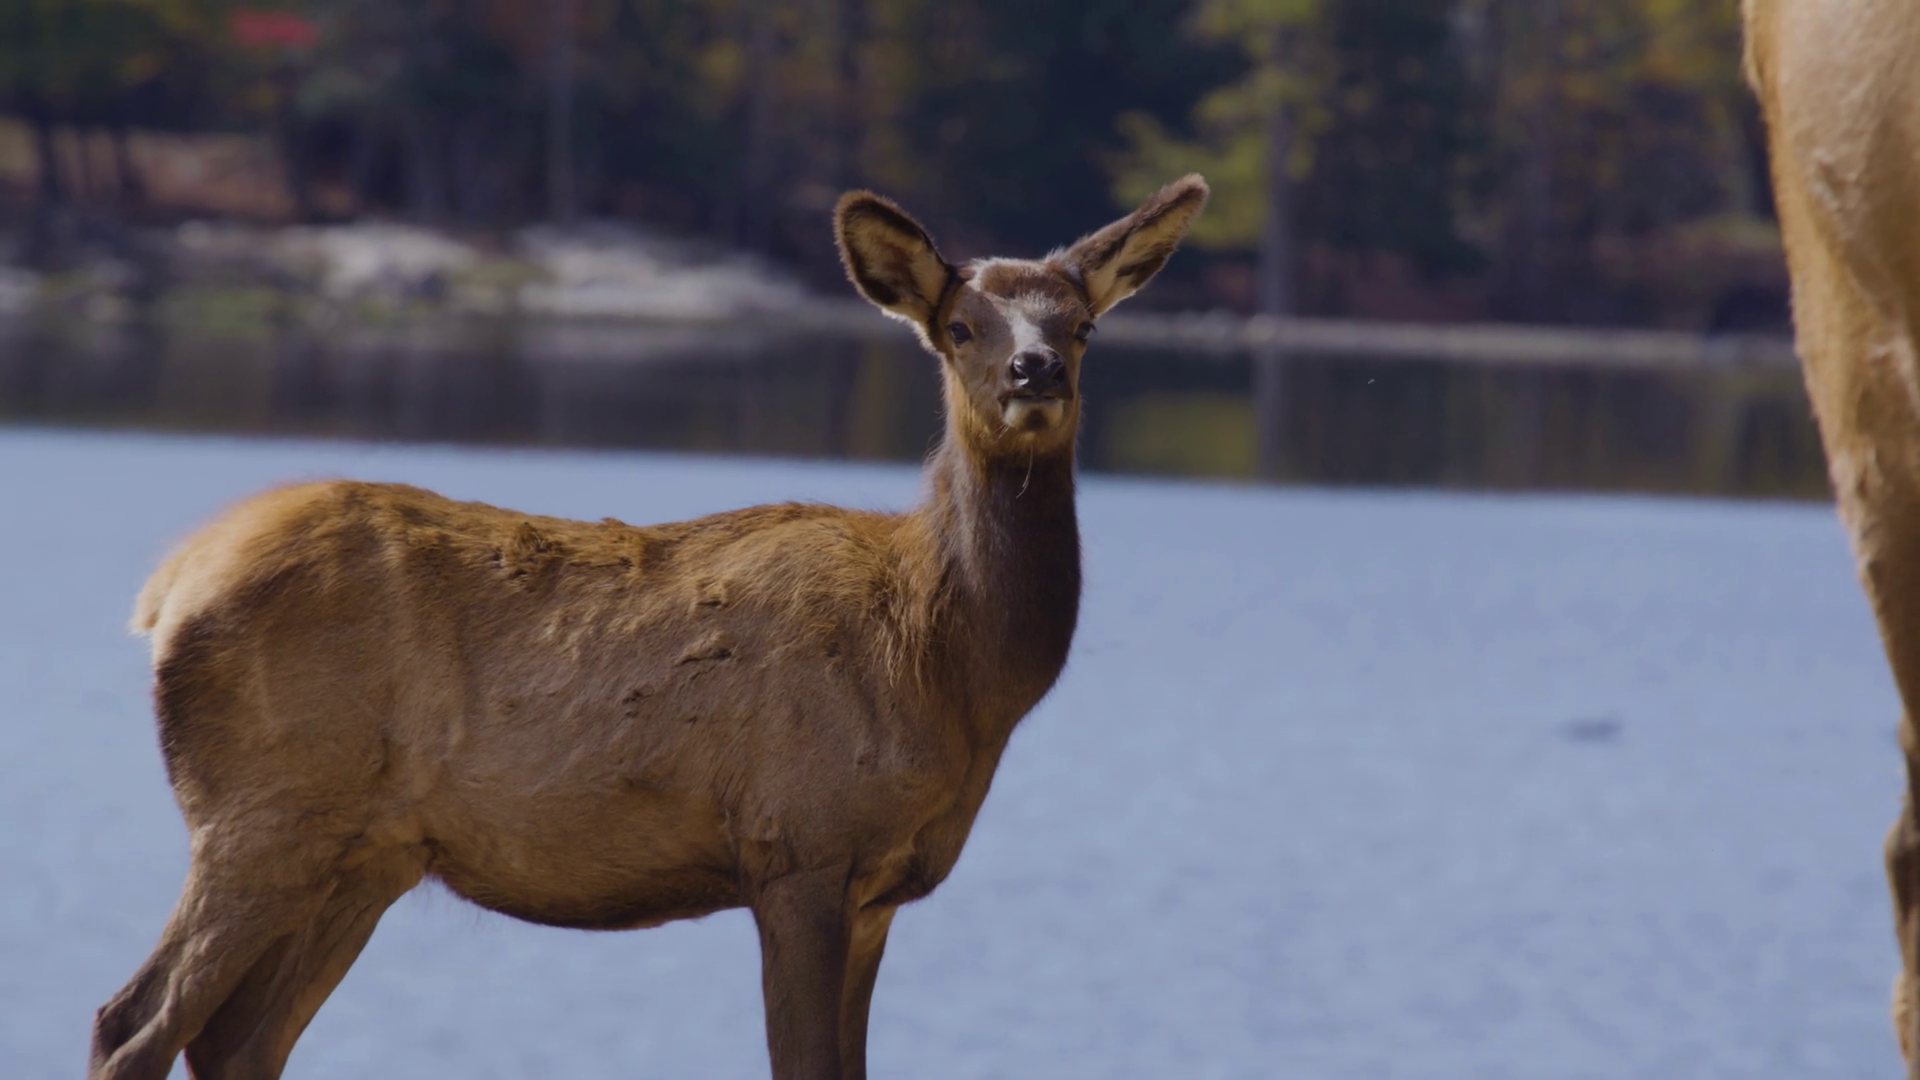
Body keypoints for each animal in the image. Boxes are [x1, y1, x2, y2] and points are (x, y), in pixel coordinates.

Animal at [84, 174, 1209, 1080]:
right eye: (962, 327)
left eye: (1082, 326)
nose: (1036, 374)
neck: (952, 671)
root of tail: (169, 587)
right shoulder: (797, 844)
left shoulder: (881, 888)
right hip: (261, 814)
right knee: (132, 1023)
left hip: (365, 855)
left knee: (237, 1040)